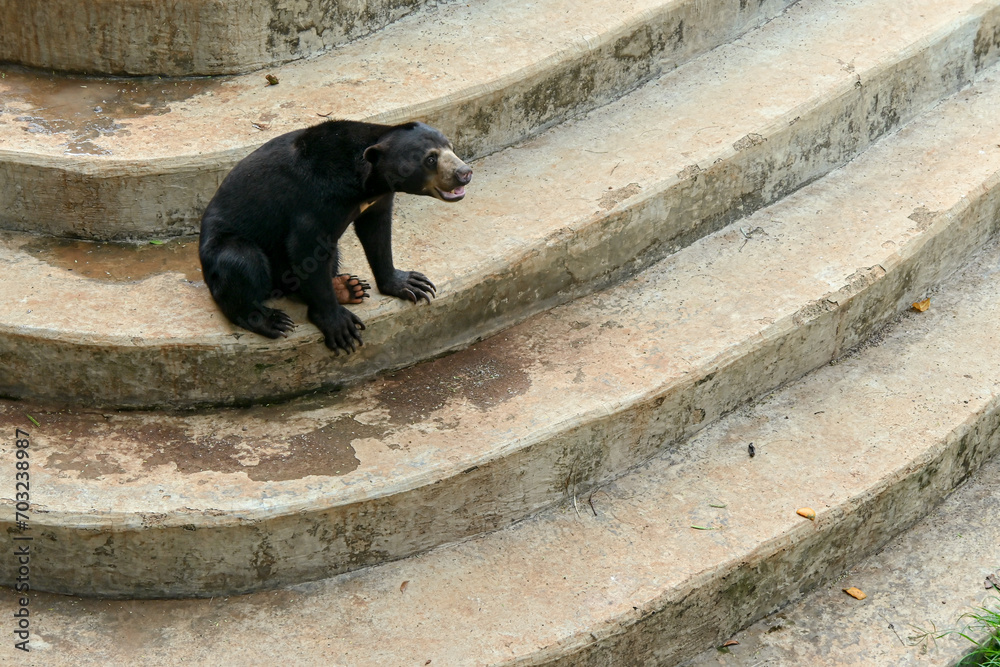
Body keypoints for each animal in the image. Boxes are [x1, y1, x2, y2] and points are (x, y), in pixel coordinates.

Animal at [199, 120, 472, 354]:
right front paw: (341, 326)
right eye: (430, 158)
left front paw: (410, 284)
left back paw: (348, 287)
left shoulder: (376, 201)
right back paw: (271, 320)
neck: (366, 183)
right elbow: (306, 248)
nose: (464, 173)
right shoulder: (315, 201)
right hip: (224, 248)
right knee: (241, 261)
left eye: (450, 147)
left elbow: (377, 233)